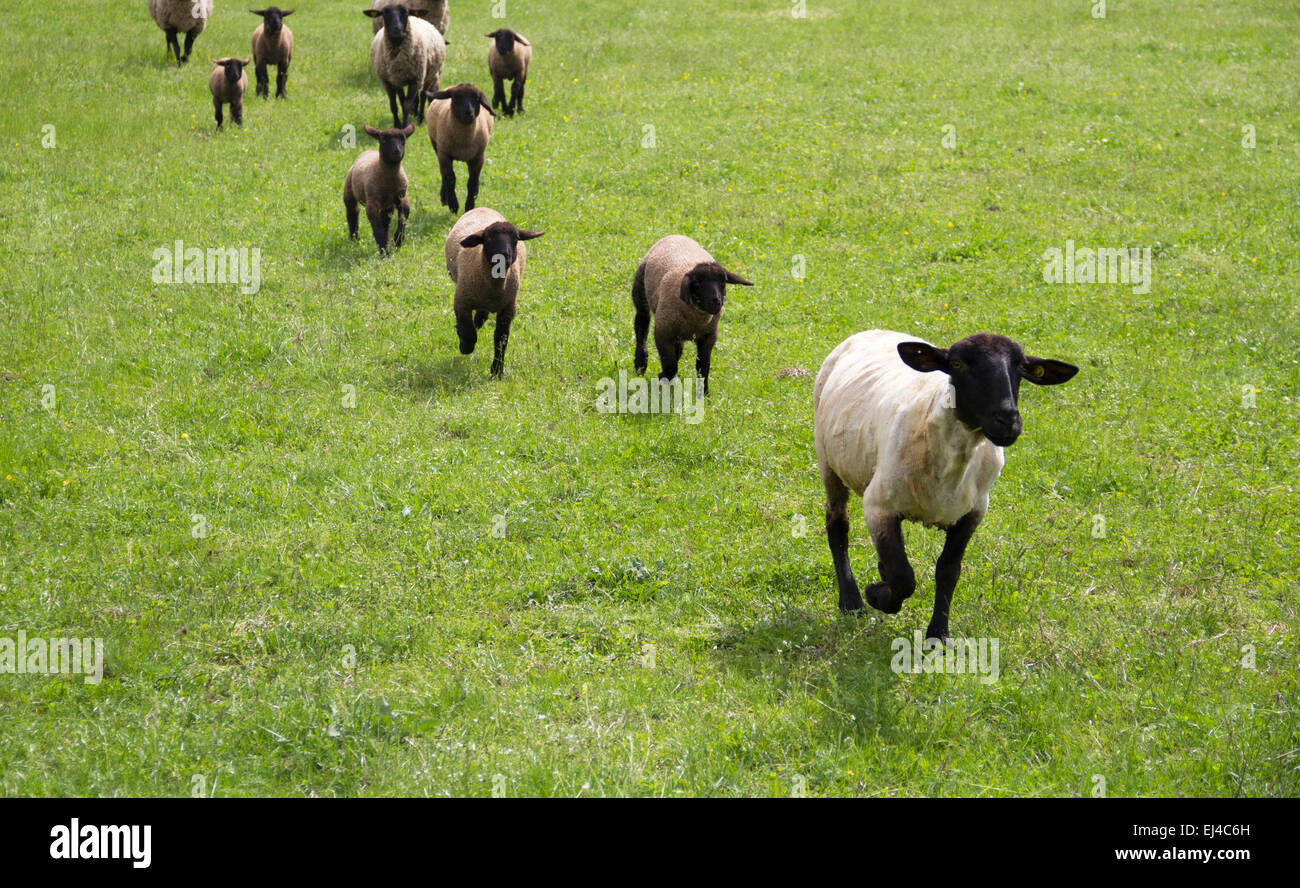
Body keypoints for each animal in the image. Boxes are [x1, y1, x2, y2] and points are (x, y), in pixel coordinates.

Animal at [343, 124, 416, 254]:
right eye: (383, 140)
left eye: (403, 140)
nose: (396, 152)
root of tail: (367, 151)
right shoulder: (372, 204)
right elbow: (377, 229)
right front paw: (384, 251)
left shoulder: (402, 197)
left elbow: (403, 218)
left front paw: (397, 241)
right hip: (349, 192)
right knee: (352, 212)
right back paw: (354, 239)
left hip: (387, 206)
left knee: (385, 222)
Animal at [424, 83, 494, 214]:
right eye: (456, 97)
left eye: (476, 98)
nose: (468, 114)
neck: (463, 141)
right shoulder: (444, 154)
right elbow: (450, 178)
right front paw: (453, 205)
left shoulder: (478, 157)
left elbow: (472, 181)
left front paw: (469, 206)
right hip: (436, 146)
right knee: (443, 174)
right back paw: (444, 198)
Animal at [444, 207, 542, 378]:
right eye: (488, 238)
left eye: (515, 239)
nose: (503, 255)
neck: (494, 289)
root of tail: (483, 208)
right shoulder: (461, 301)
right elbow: (469, 333)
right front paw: (465, 347)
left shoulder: (509, 308)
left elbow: (501, 339)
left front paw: (497, 372)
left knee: (481, 317)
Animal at [631, 235, 752, 396]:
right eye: (697, 284)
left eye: (723, 282)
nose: (716, 302)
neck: (696, 321)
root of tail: (675, 235)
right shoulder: (663, 333)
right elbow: (670, 366)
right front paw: (663, 380)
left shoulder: (708, 336)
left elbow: (703, 368)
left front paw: (705, 395)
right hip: (641, 291)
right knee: (641, 325)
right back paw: (640, 364)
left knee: (677, 350)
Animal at [813, 330, 1078, 640]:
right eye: (957, 364)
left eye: (1021, 368)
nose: (1008, 421)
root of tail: (875, 330)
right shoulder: (878, 505)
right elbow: (903, 576)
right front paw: (877, 595)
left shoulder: (973, 512)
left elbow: (948, 570)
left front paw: (938, 636)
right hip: (828, 462)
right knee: (837, 525)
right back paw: (851, 602)